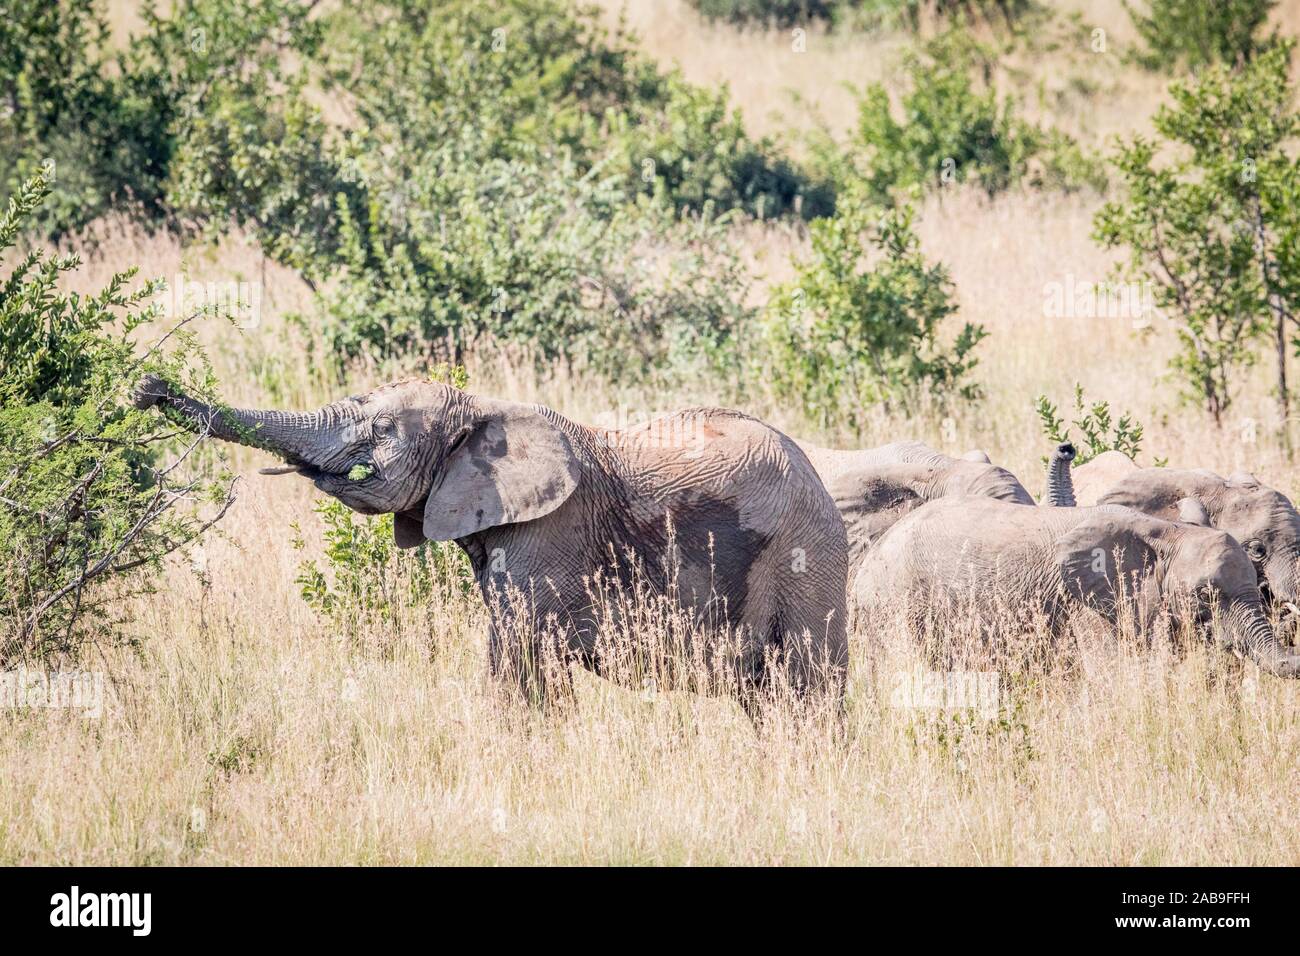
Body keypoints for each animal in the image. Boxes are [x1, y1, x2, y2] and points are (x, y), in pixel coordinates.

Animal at [133, 375, 849, 707]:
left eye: (382, 431)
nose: (148, 388)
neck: (483, 408)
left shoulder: (548, 535)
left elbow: (519, 655)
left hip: (805, 557)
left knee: (809, 685)